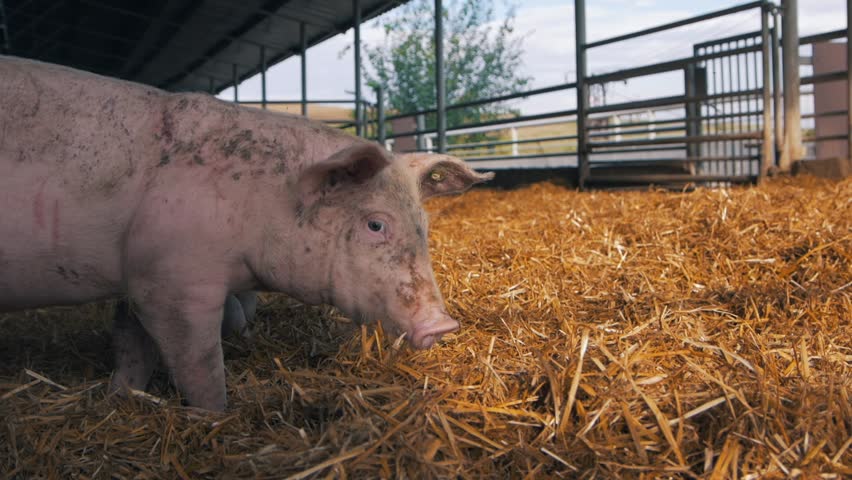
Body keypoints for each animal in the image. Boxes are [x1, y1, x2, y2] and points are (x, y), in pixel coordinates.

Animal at [0, 56, 492, 411]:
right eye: (375, 224)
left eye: (423, 225)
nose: (444, 324)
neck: (263, 204)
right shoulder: (173, 284)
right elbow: (199, 363)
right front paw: (215, 416)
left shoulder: (138, 275)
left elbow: (133, 345)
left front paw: (120, 397)